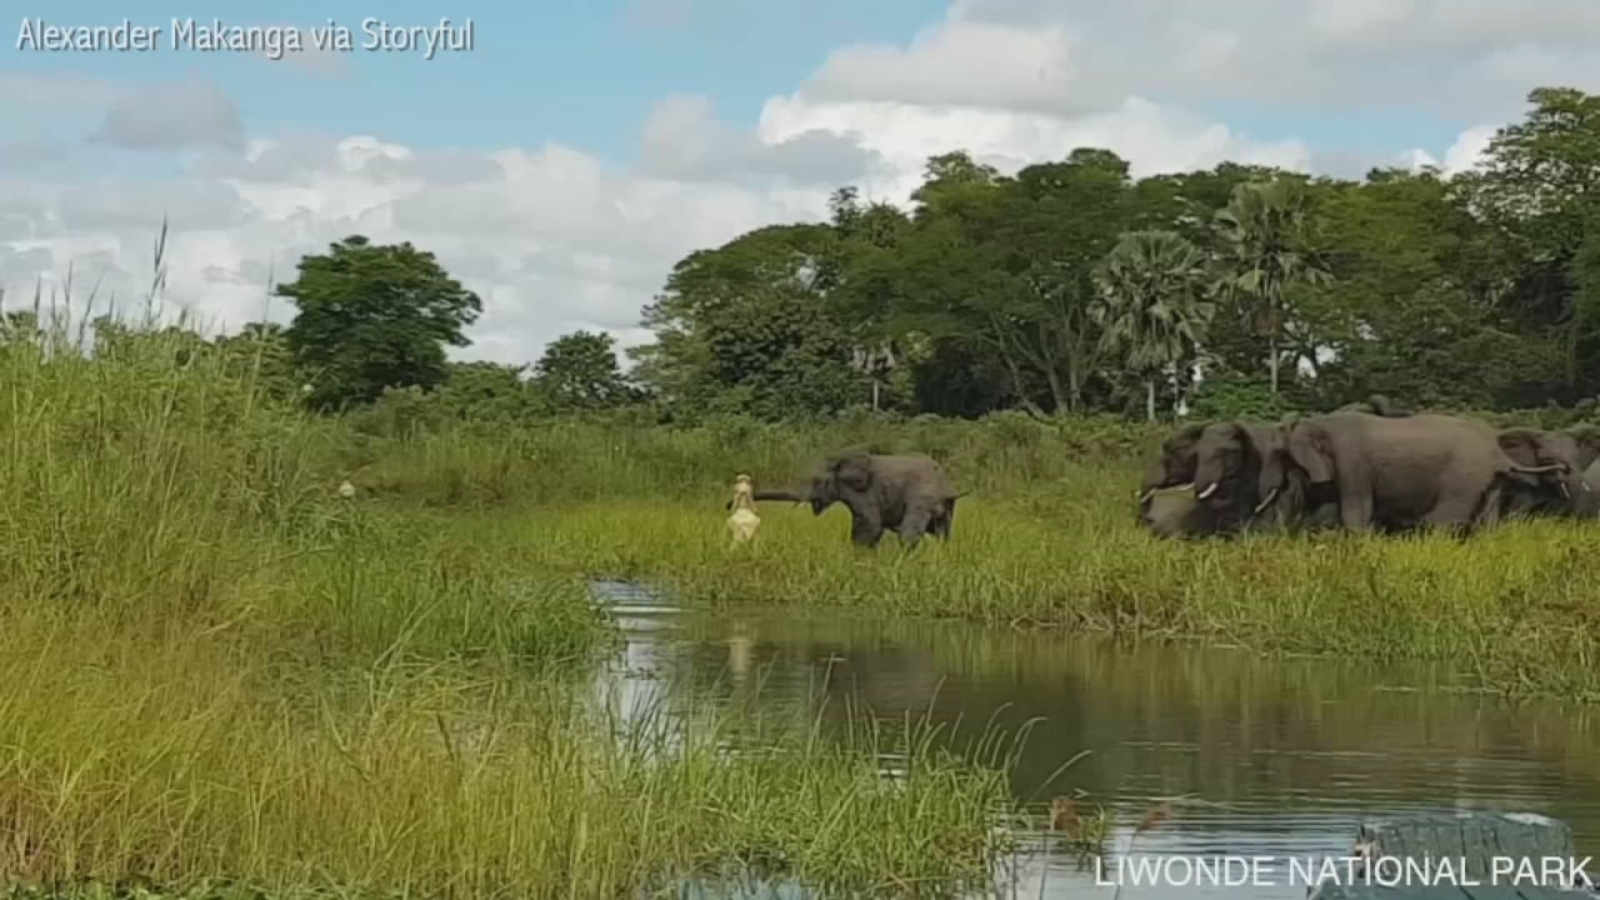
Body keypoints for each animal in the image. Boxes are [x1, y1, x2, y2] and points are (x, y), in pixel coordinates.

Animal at [737, 451, 964, 549]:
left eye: (817, 482)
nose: (731, 504)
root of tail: (947, 488)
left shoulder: (865, 493)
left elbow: (871, 525)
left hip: (922, 496)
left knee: (911, 531)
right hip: (946, 508)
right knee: (943, 532)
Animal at [1274, 412, 1567, 533]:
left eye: (1289, 461)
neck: (1322, 421)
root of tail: (1496, 448)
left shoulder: (1351, 459)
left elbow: (1357, 510)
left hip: (1463, 474)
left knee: (1443, 518)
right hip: (1490, 478)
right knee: (1486, 519)